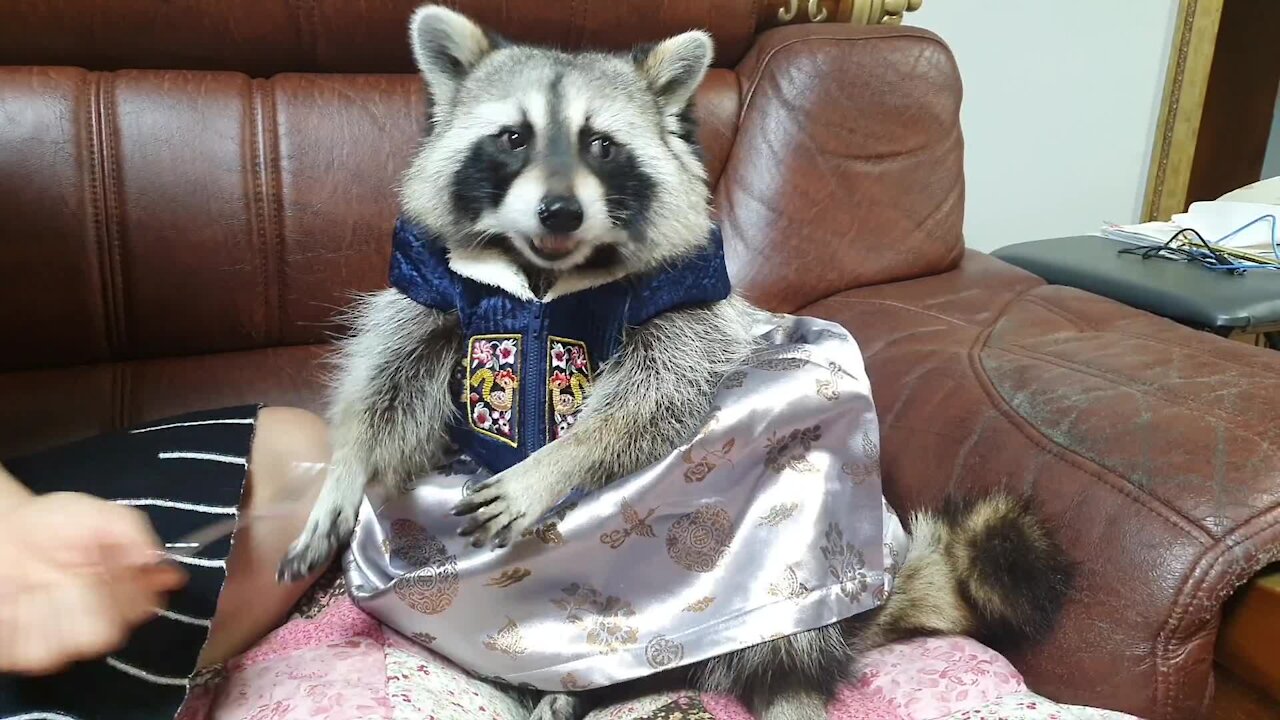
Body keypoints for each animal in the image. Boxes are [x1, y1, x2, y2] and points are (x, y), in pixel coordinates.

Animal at [278, 6, 1073, 720]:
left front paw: (562, 458)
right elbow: (391, 378)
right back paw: (567, 686)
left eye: (601, 145)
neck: (544, 275)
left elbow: (656, 397)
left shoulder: (683, 298)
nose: (560, 211)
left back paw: (777, 684)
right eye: (513, 138)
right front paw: (348, 464)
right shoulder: (434, 279)